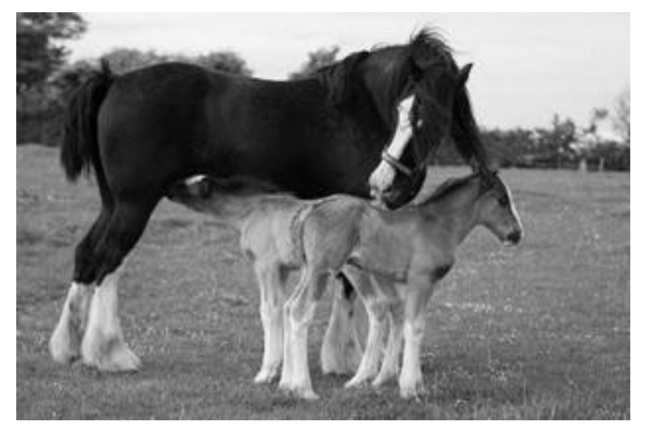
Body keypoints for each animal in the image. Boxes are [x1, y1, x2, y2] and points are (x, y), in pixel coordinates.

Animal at [49, 28, 491, 373]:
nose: (384, 183)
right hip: (134, 204)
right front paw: (345, 358)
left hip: (115, 203)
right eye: (403, 109)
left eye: (435, 118)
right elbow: (350, 286)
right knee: (108, 258)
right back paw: (110, 354)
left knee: (91, 256)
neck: (358, 108)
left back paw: (70, 348)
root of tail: (114, 81)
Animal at [168, 171, 523, 399]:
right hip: (323, 269)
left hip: (316, 270)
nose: (517, 234)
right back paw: (303, 389)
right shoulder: (421, 281)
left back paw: (292, 384)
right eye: (502, 200)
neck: (436, 224)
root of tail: (309, 209)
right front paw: (410, 387)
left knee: (292, 308)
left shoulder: (400, 282)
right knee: (299, 311)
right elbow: (415, 326)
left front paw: (395, 379)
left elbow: (399, 320)